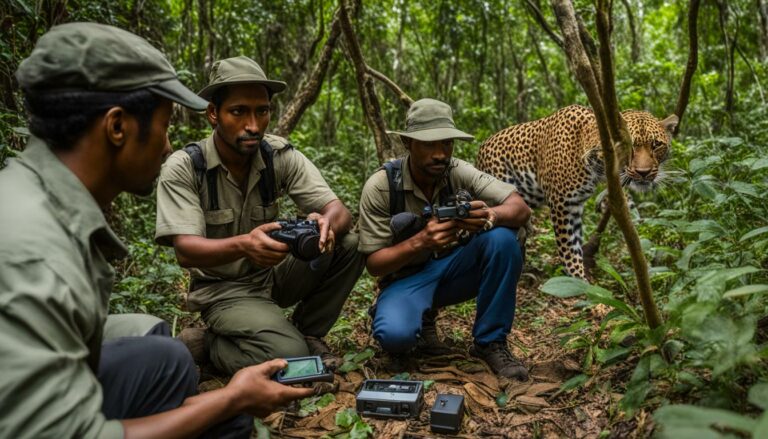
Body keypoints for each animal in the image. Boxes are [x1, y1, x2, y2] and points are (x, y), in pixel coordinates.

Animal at [476, 104, 678, 279]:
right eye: (630, 145)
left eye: (656, 145)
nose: (643, 172)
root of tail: (481, 148)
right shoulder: (561, 204)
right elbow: (568, 248)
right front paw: (578, 281)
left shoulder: (575, 205)